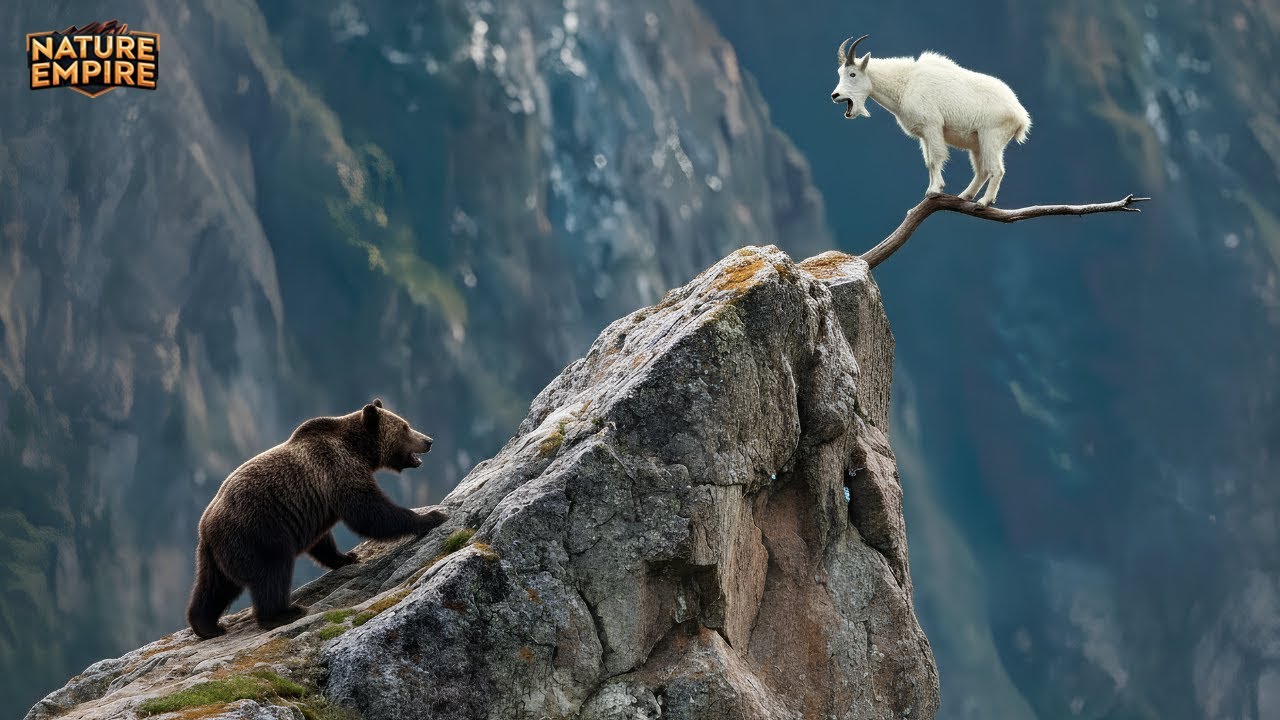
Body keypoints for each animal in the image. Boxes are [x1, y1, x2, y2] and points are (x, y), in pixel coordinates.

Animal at [186, 398, 448, 639]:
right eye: (404, 427)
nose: (429, 441)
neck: (359, 449)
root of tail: (206, 526)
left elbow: (323, 540)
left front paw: (347, 557)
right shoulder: (338, 469)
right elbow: (369, 512)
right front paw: (431, 516)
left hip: (216, 554)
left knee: (214, 587)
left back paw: (207, 625)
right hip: (258, 534)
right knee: (271, 573)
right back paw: (284, 613)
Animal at [830, 35, 1031, 207]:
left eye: (853, 74)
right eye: (840, 73)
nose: (835, 95)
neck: (905, 83)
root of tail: (1021, 115)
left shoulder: (932, 126)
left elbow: (936, 158)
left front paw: (934, 190)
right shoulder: (924, 135)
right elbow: (928, 162)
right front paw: (932, 189)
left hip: (991, 137)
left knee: (996, 169)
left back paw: (984, 202)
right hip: (977, 143)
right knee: (981, 171)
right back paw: (965, 196)